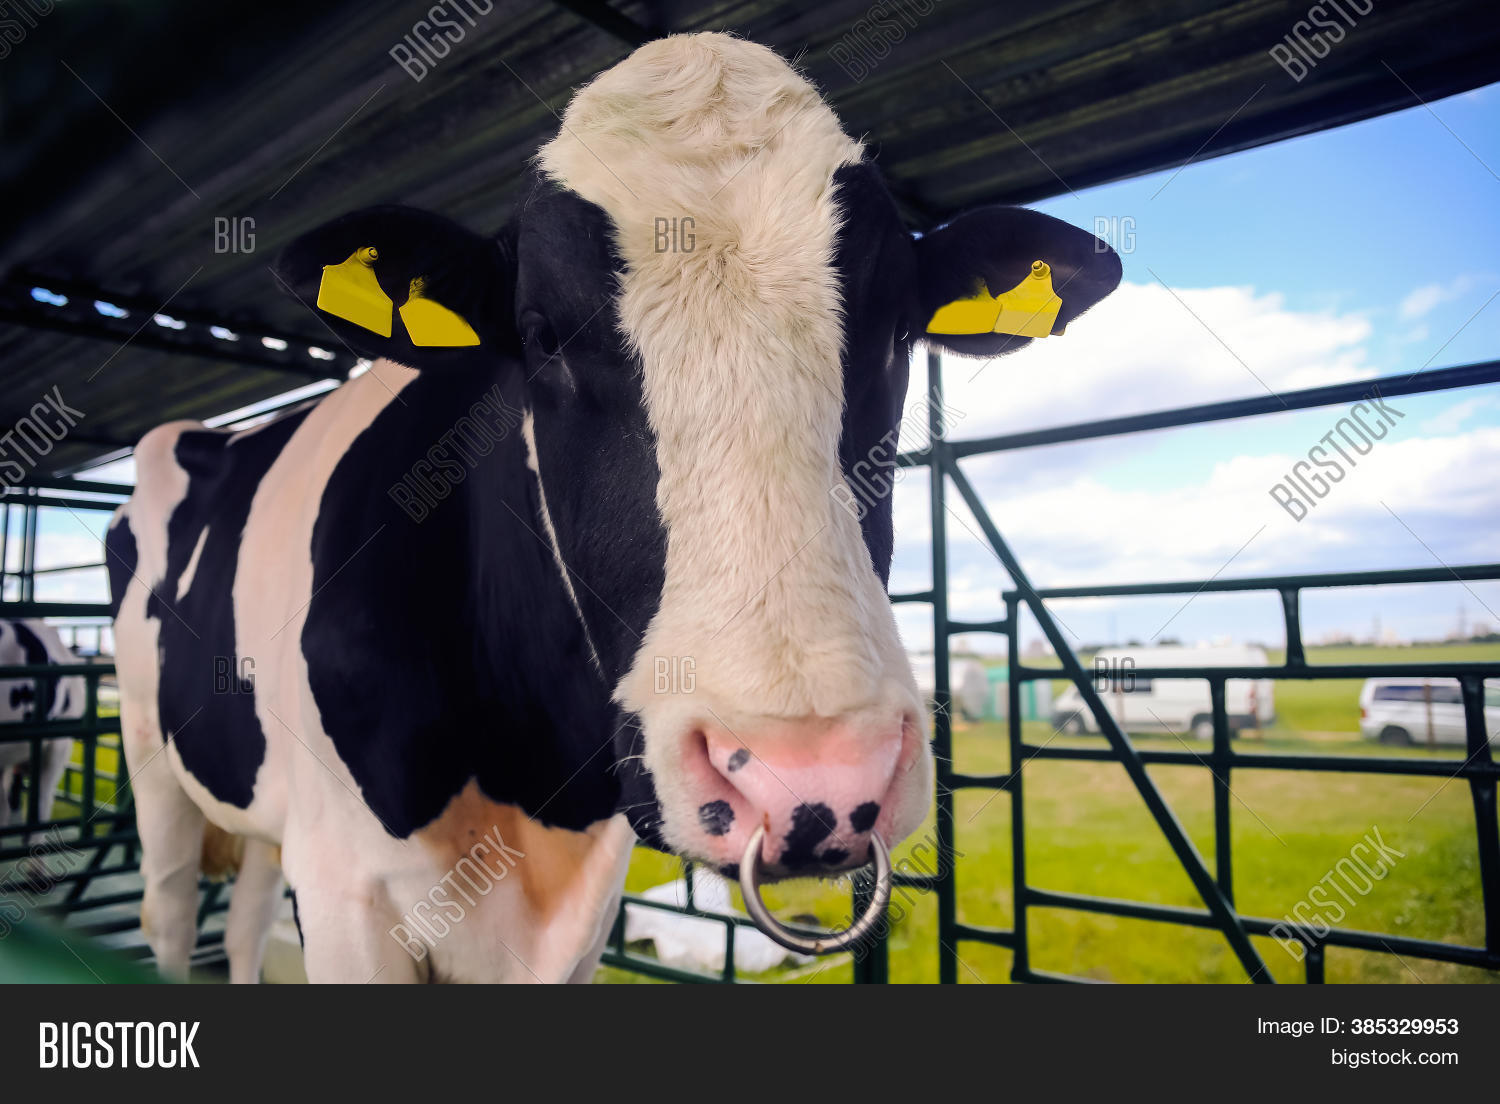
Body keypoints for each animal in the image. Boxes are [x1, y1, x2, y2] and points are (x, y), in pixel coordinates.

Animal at [106, 32, 1120, 983]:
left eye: (900, 332)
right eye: (543, 335)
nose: (811, 777)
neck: (533, 779)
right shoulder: (344, 888)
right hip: (153, 761)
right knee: (169, 913)